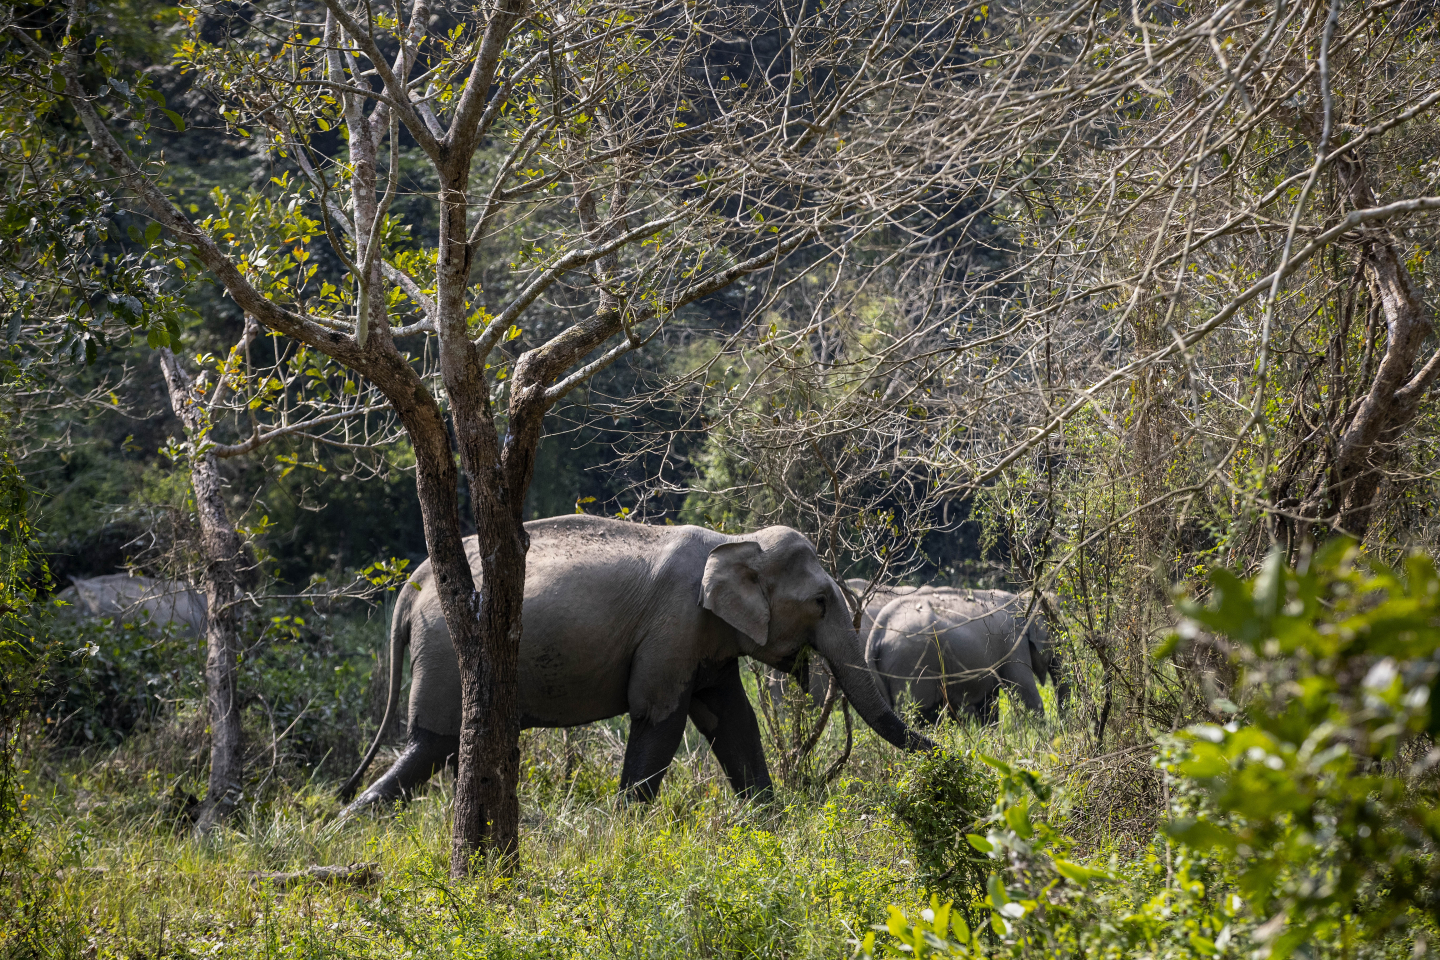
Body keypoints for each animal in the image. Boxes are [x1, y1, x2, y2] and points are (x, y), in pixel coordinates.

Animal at [338, 516, 932, 811]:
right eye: (821, 602)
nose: (943, 754)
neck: (733, 542)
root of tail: (411, 587)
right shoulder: (674, 625)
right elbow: (659, 718)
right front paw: (625, 830)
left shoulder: (705, 638)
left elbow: (734, 721)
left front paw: (770, 824)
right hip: (445, 652)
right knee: (431, 744)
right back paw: (348, 827)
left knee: (442, 747)